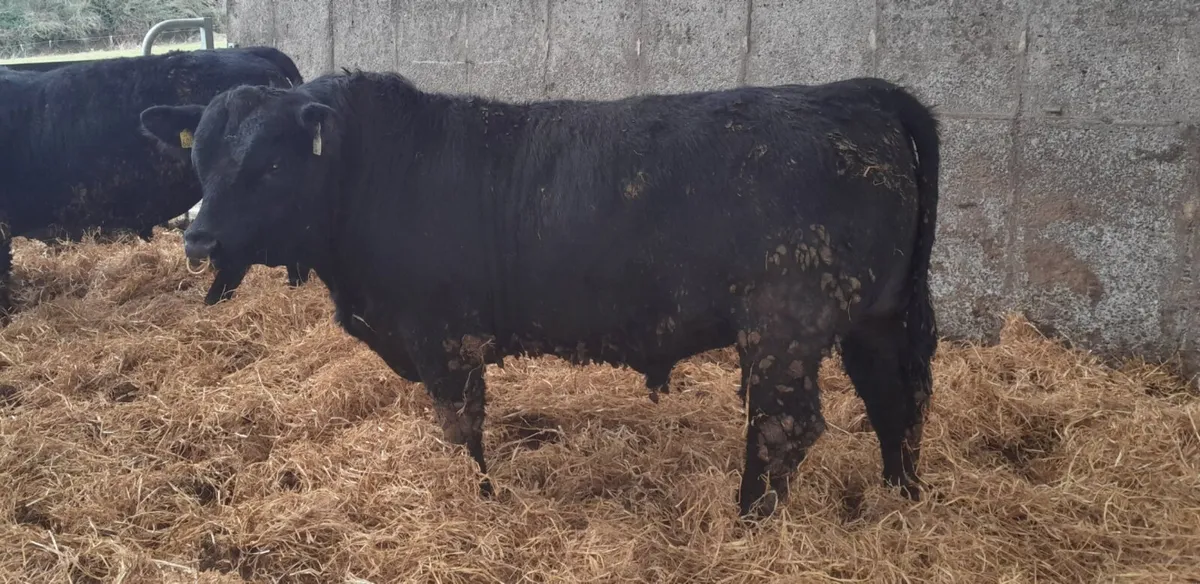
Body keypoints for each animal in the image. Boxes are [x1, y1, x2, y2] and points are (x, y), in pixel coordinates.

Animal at [142, 69, 941, 519]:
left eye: (271, 163)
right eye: (201, 155)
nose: (198, 239)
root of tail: (855, 94)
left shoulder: (443, 336)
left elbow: (460, 428)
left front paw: (480, 503)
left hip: (786, 327)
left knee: (786, 427)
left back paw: (749, 520)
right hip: (875, 317)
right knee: (895, 399)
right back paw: (898, 501)